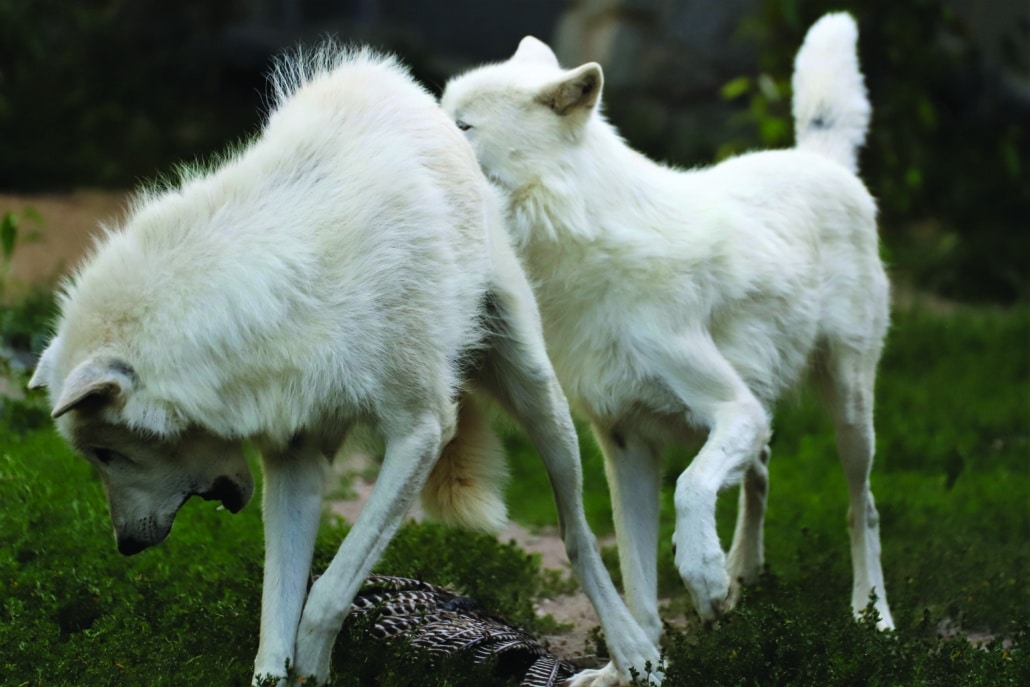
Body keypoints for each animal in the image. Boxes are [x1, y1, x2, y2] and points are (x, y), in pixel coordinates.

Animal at [29, 46, 660, 686]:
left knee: (579, 533)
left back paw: (633, 655)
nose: (126, 547)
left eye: (106, 453)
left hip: (538, 398)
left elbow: (326, 594)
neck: (284, 295)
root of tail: (399, 86)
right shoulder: (294, 456)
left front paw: (313, 666)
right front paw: (280, 671)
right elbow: (277, 610)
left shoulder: (419, 432)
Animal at [441, 12, 894, 642]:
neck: (585, 250)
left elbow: (691, 486)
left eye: (462, 125)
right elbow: (637, 583)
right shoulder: (625, 443)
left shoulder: (731, 410)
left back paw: (872, 614)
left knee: (863, 507)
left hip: (850, 410)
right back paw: (744, 573)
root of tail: (821, 159)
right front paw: (635, 657)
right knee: (762, 470)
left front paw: (702, 575)